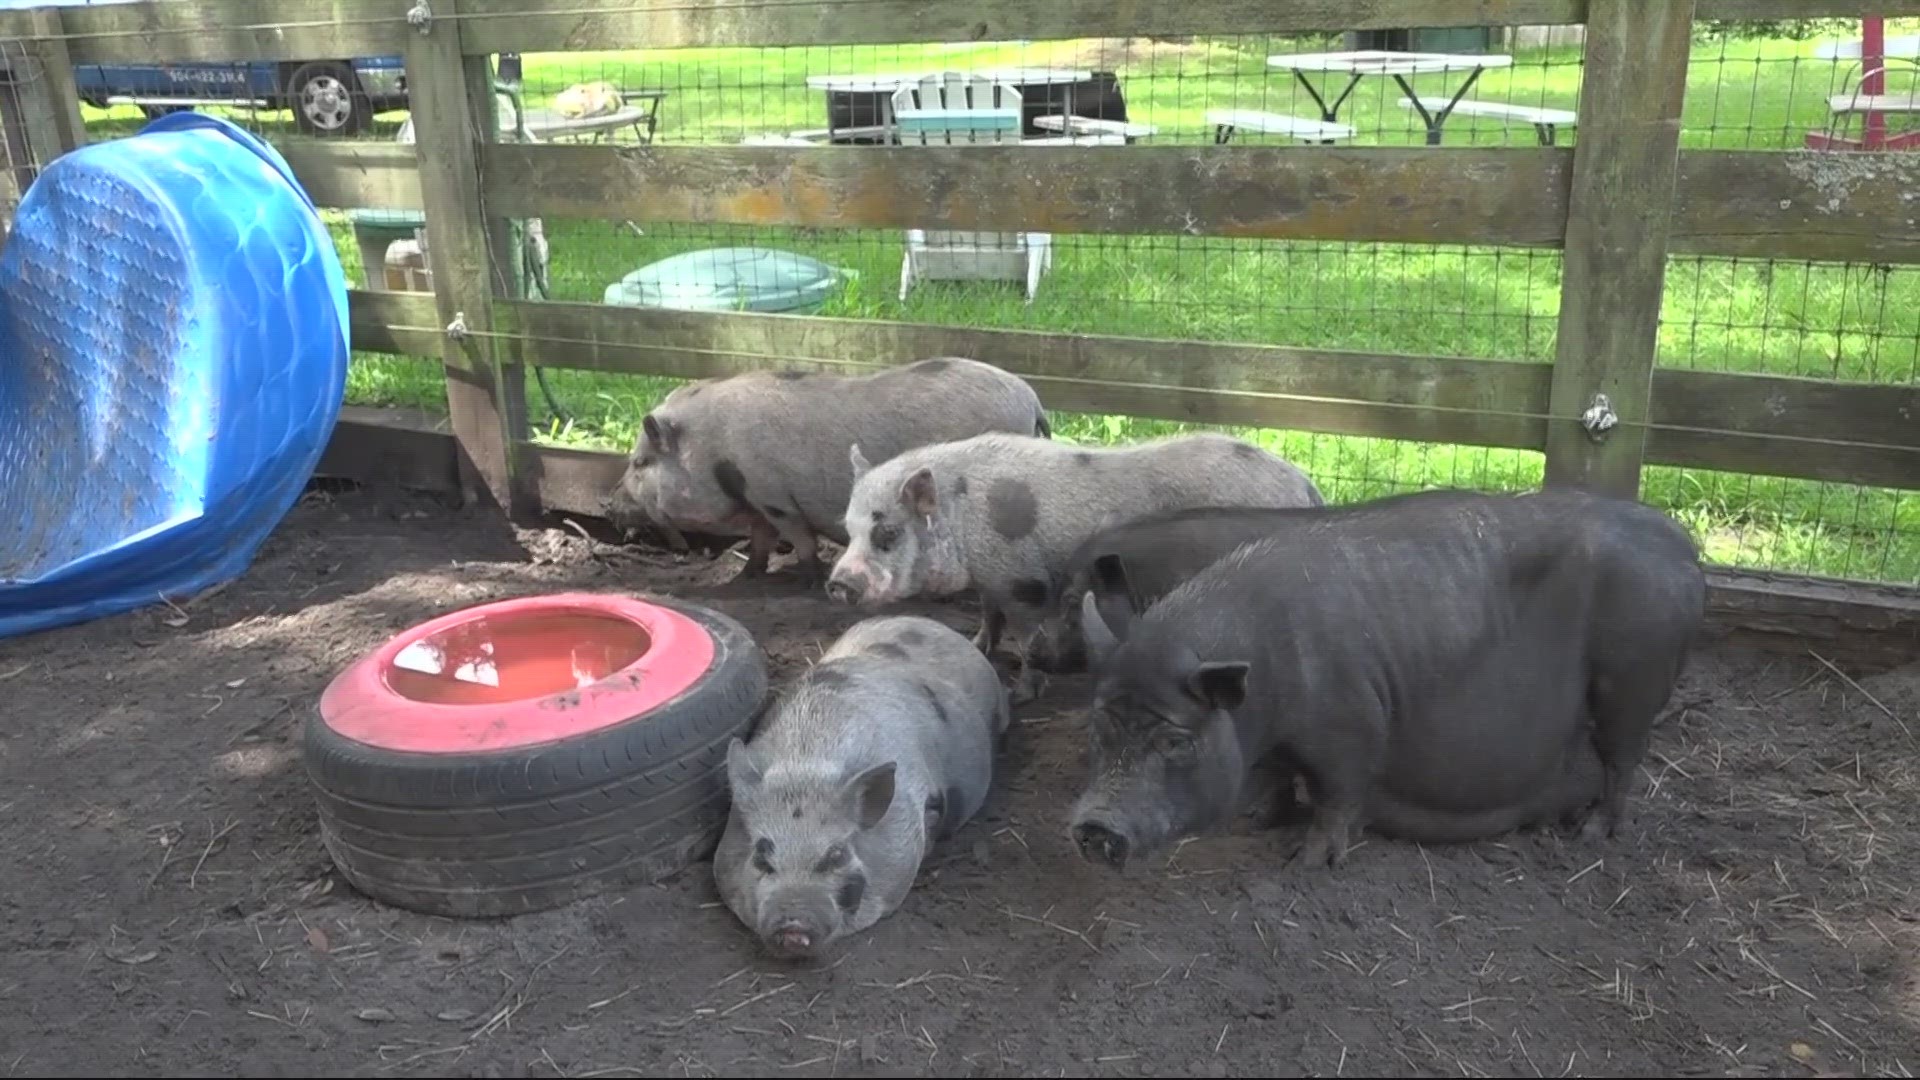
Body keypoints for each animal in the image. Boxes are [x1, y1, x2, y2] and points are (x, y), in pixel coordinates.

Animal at [605, 358, 1050, 581]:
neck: (715, 454)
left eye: (640, 462)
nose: (608, 503)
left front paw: (809, 578)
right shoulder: (759, 500)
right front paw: (747, 577)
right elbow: (761, 539)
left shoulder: (776, 497)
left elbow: (799, 538)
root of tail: (1032, 400)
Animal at [823, 430, 1323, 703]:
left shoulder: (1021, 580)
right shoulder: (991, 580)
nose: (838, 583)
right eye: (848, 528)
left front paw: (1020, 693)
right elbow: (988, 613)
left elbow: (1026, 638)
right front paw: (977, 644)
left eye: (888, 533)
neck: (963, 520)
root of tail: (1303, 482)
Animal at [1066, 486, 1705, 872]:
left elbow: (1336, 797)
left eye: (1175, 741)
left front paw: (1305, 862)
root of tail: (1683, 548)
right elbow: (1279, 780)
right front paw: (1258, 820)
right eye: (1098, 732)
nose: (1094, 825)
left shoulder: (1351, 726)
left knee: (1622, 761)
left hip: (1632, 677)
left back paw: (1591, 835)